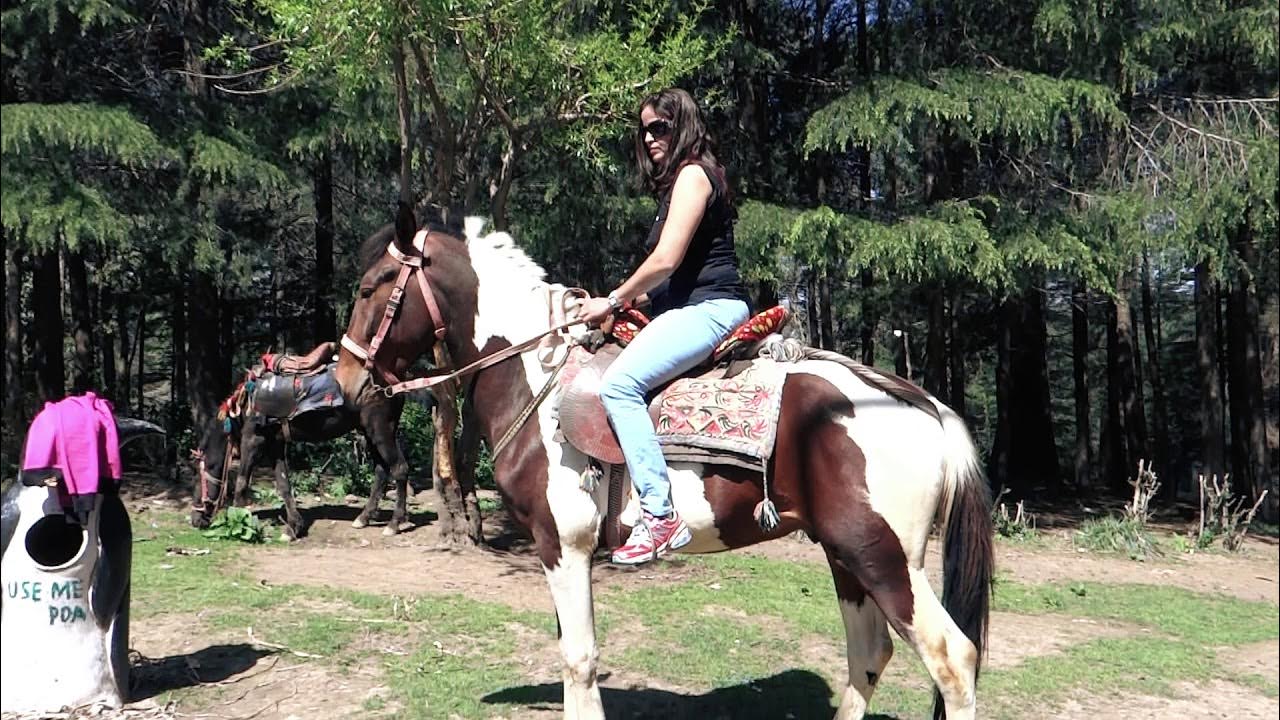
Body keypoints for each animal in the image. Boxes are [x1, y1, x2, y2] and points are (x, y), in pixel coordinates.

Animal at [189, 387, 413, 540]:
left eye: (199, 477)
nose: (195, 519)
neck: (245, 408)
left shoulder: (253, 441)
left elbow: (241, 483)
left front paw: (235, 521)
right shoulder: (275, 444)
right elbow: (283, 484)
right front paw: (293, 527)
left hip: (381, 432)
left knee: (399, 469)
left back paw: (394, 524)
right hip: (369, 433)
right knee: (381, 471)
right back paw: (364, 517)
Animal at [333, 206, 994, 720]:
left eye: (371, 287)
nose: (344, 381)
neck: (535, 377)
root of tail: (926, 405)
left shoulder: (562, 543)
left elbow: (579, 659)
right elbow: (572, 654)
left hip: (884, 557)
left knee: (954, 660)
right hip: (845, 553)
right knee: (869, 656)